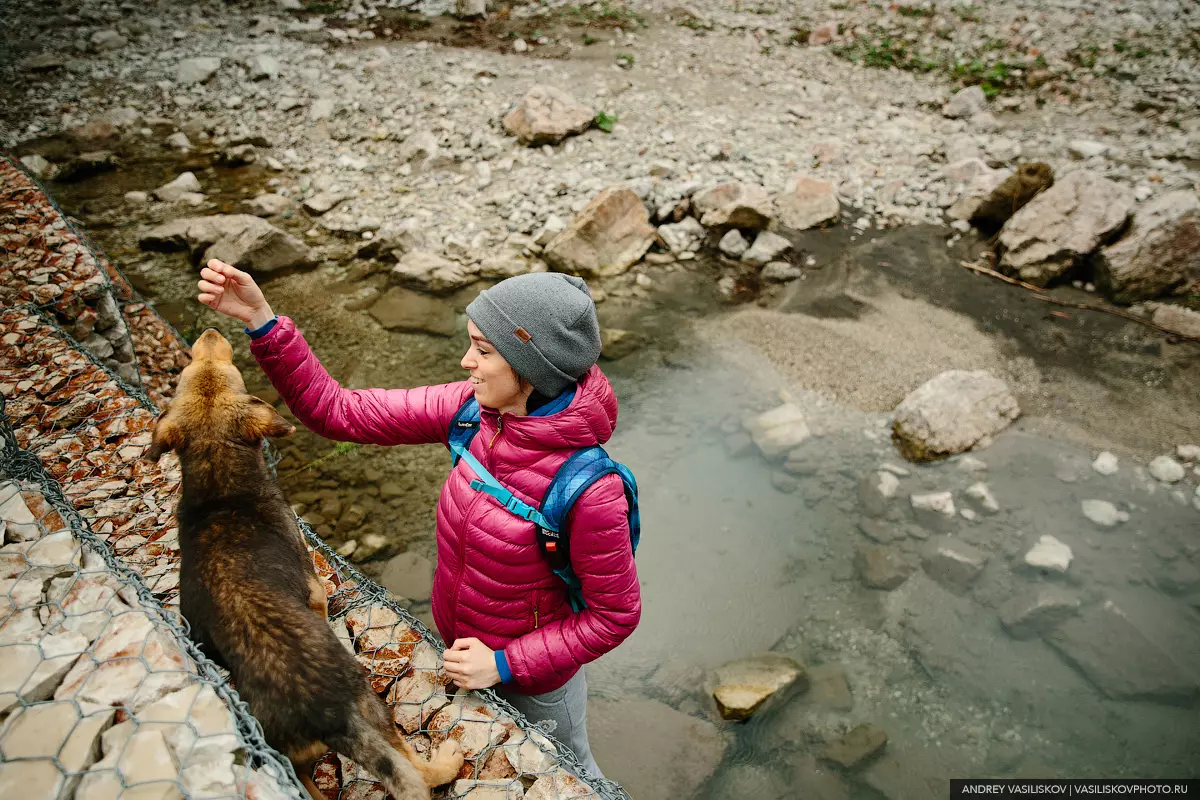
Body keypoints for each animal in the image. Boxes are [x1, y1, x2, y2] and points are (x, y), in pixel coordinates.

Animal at [148, 328, 463, 796]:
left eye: (196, 368)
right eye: (217, 368)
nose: (209, 332)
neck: (219, 482)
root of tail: (322, 713)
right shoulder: (315, 589)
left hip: (287, 751)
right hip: (371, 706)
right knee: (414, 767)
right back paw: (448, 760)